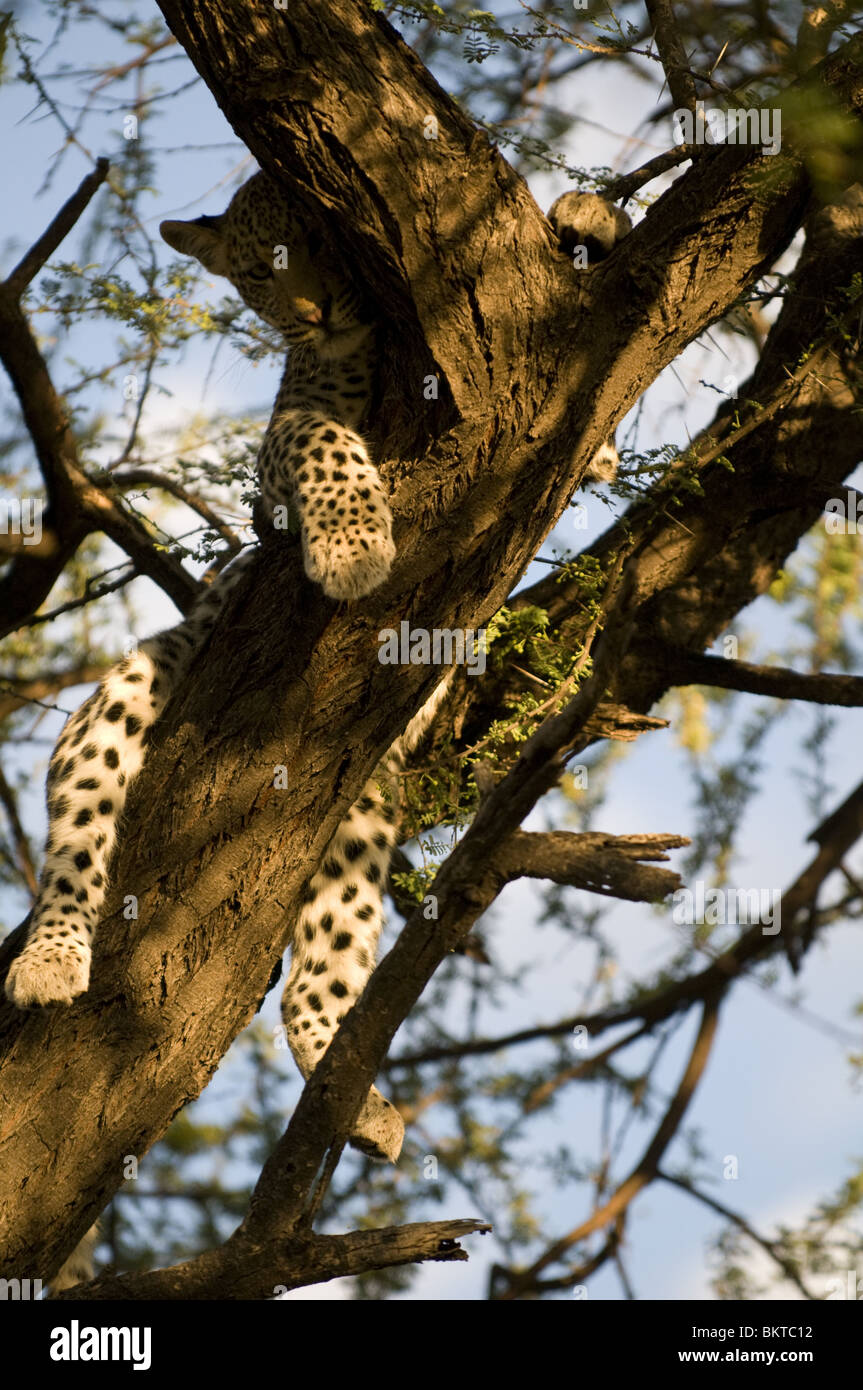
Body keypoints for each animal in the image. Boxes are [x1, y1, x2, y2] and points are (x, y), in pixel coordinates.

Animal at [4, 170, 631, 1287]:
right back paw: (49, 962)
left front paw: (587, 218)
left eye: (321, 245)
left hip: (361, 795)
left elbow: (591, 433)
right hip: (132, 697)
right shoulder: (290, 429)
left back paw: (356, 1093)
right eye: (260, 271)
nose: (318, 312)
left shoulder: (567, 434)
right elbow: (321, 441)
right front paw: (349, 544)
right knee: (78, 840)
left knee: (326, 966)